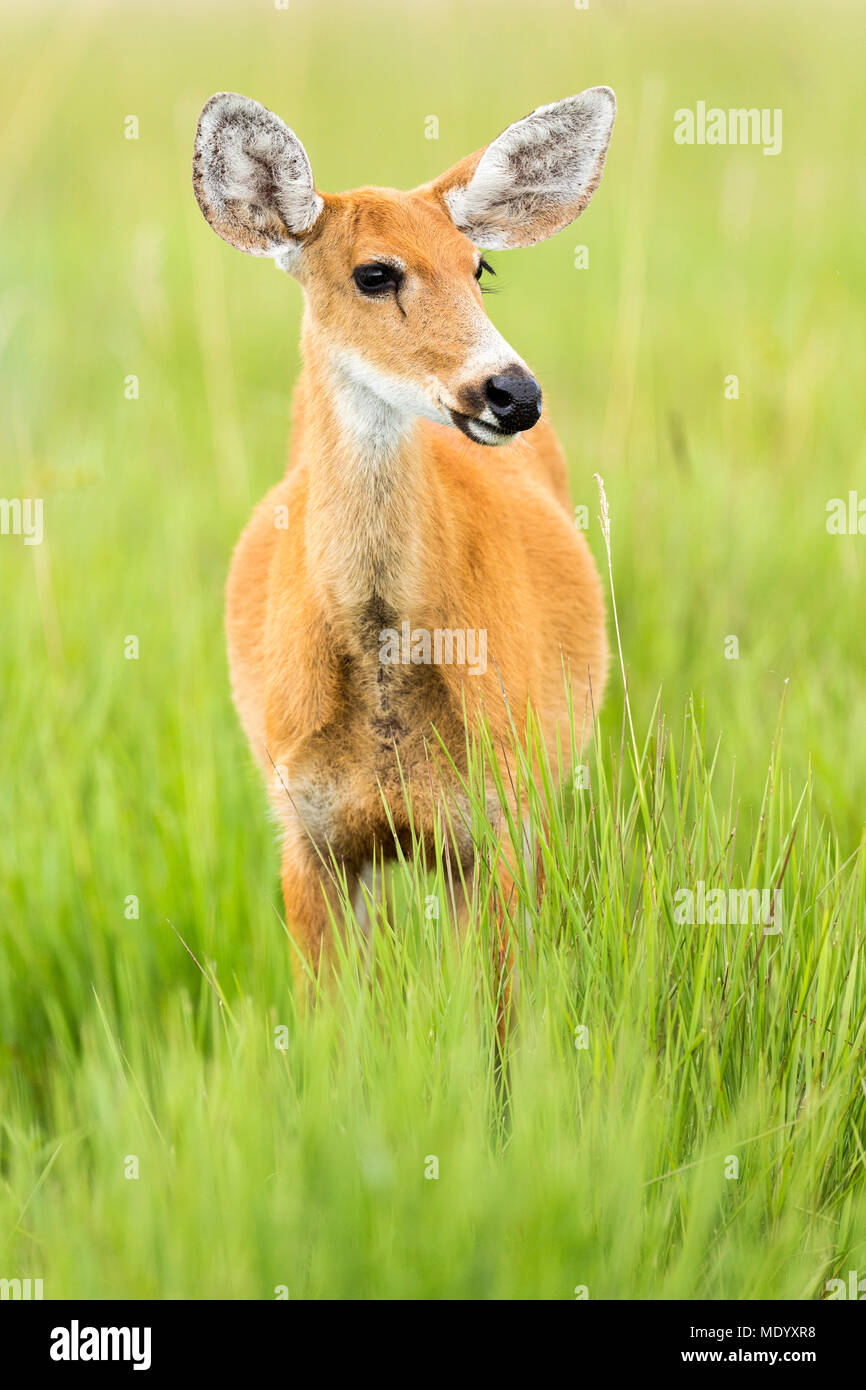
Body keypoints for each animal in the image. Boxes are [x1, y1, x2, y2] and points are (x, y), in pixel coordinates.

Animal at [192, 87, 616, 1023]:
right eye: (375, 274)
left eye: (479, 267)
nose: (513, 392)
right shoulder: (307, 833)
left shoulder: (498, 820)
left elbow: (495, 1028)